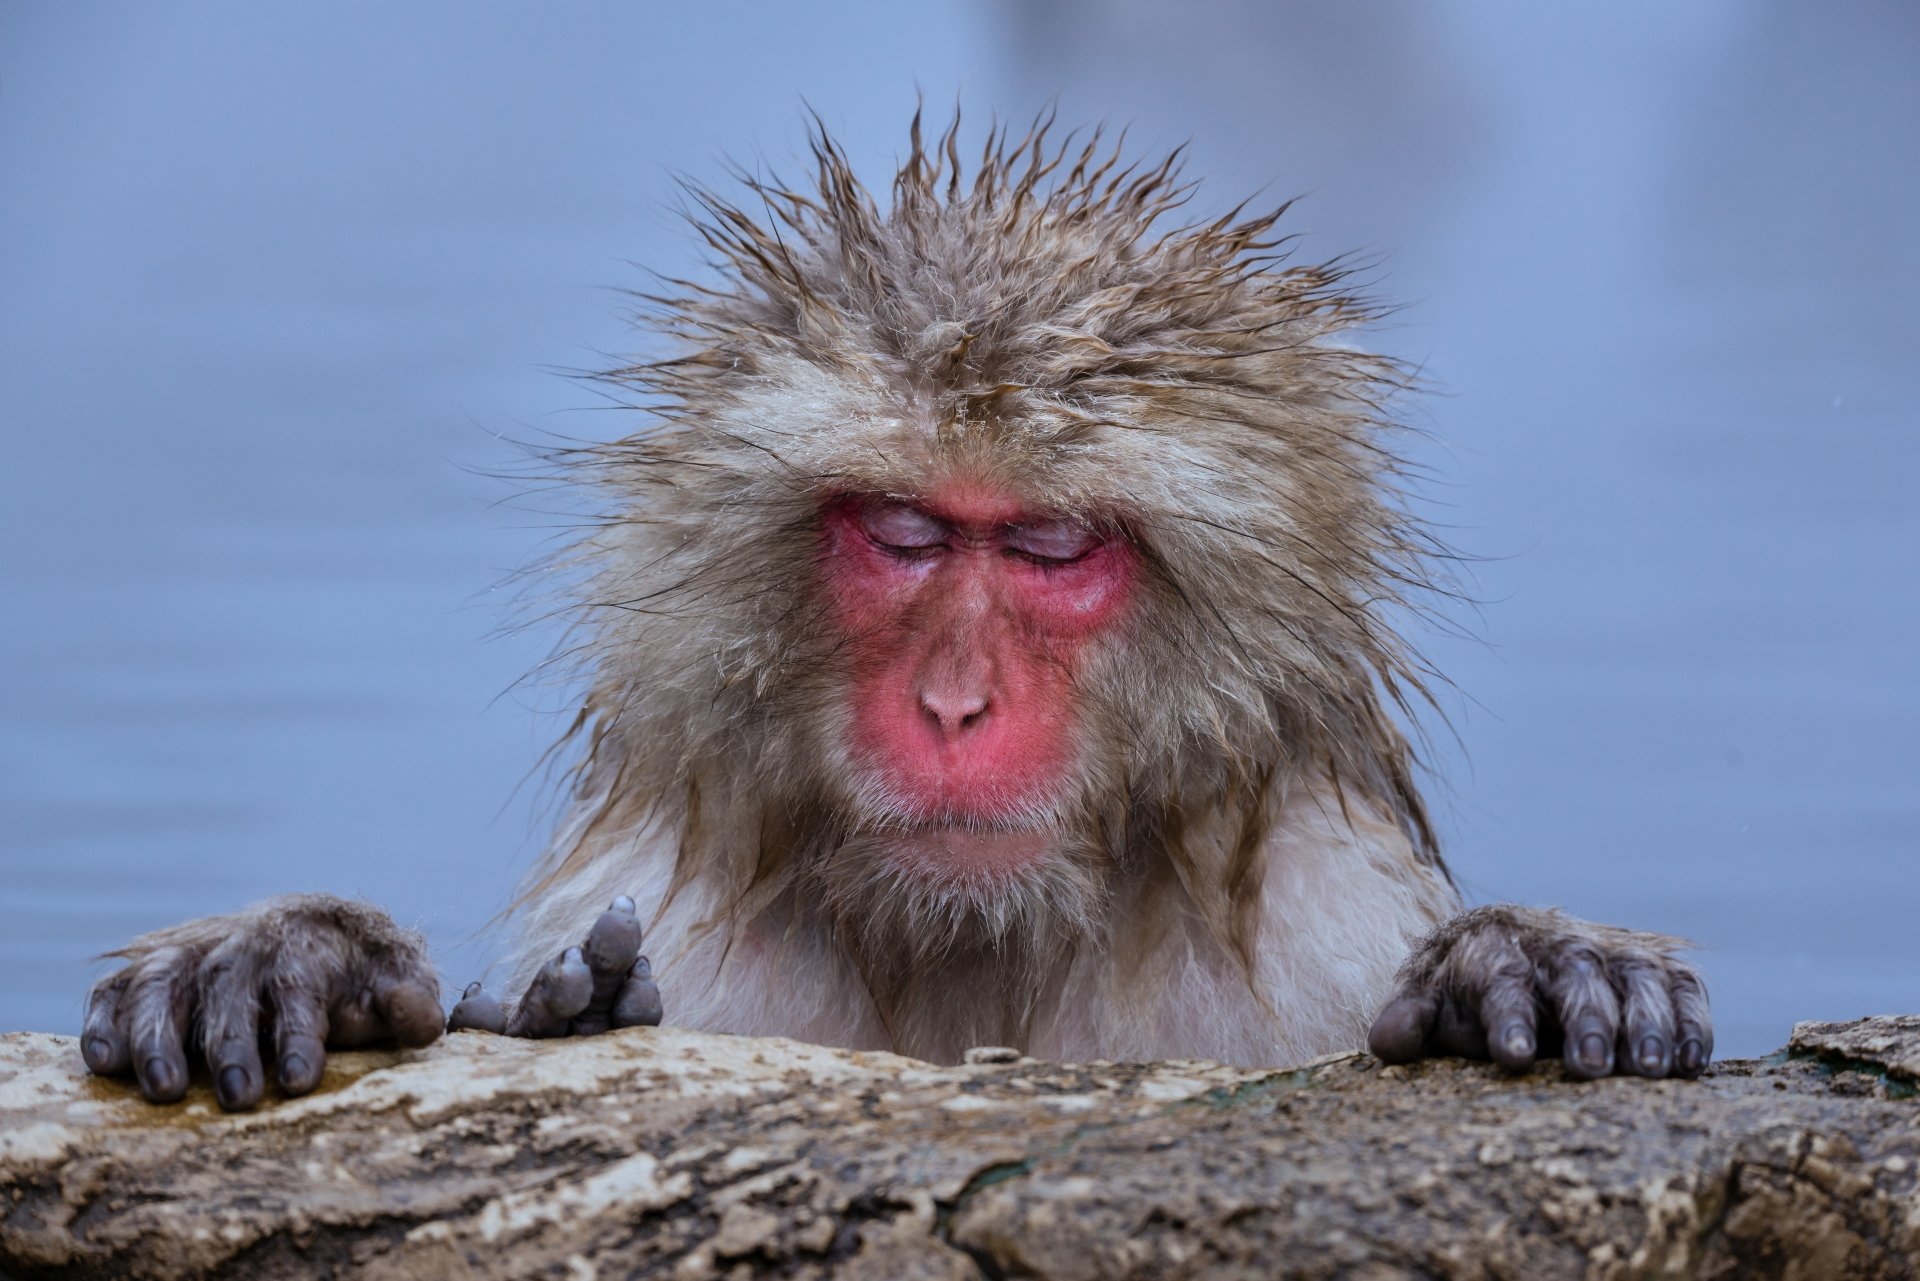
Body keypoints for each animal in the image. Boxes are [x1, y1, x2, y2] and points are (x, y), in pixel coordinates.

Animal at [79, 112, 1711, 1113]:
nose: (954, 704)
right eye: (909, 534)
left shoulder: (1320, 921)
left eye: (1050, 544)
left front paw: (1521, 968)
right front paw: (314, 961)